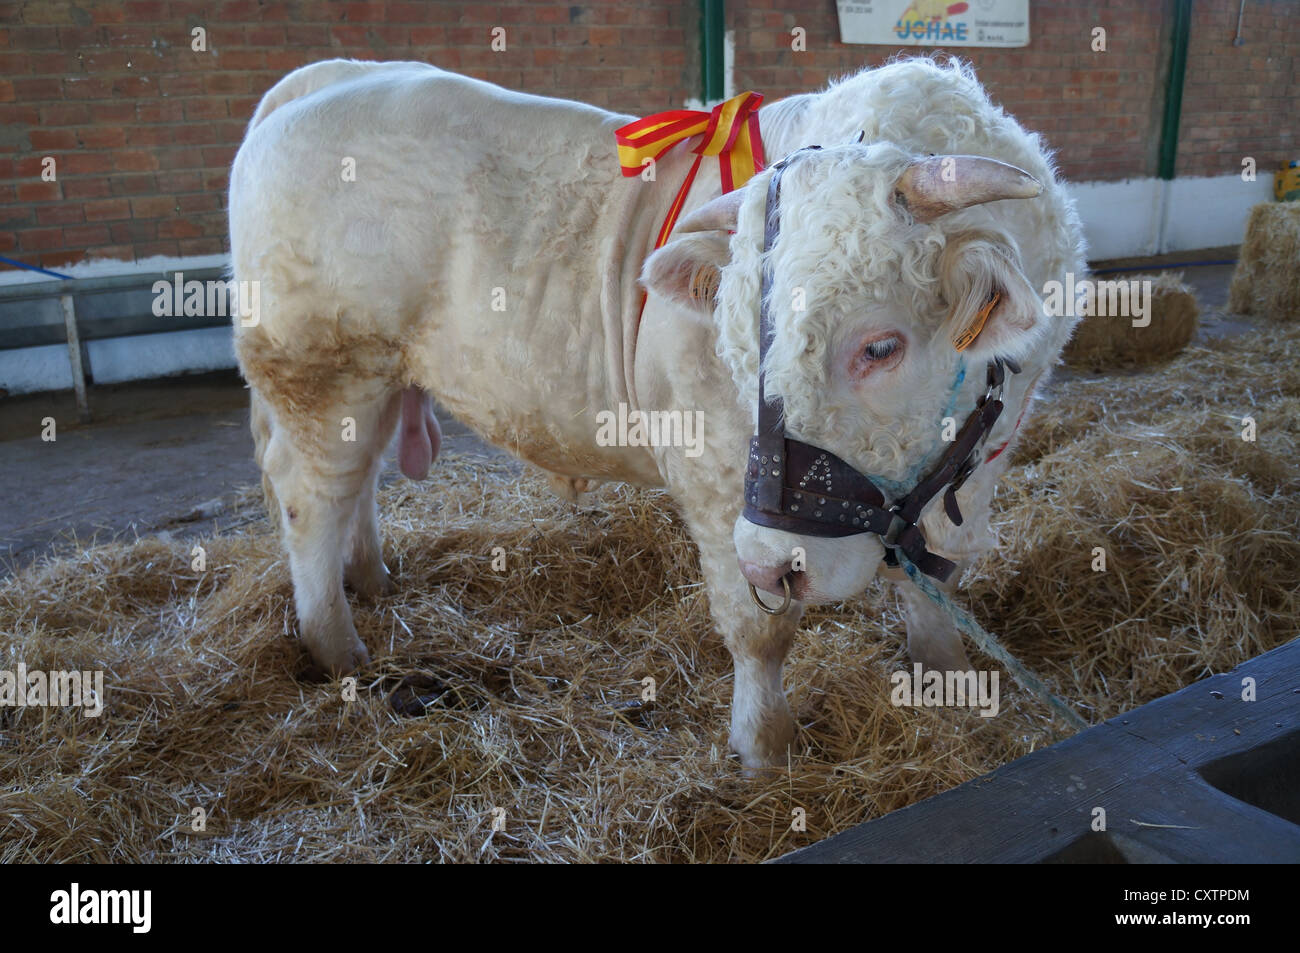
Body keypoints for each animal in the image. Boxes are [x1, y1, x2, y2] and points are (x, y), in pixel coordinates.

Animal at [229, 56, 1087, 769]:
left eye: (880, 346)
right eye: (733, 342)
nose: (778, 565)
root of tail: (323, 80)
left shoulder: (977, 468)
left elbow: (934, 586)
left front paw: (948, 682)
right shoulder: (714, 475)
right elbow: (758, 629)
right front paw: (764, 750)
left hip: (374, 384)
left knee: (357, 485)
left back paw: (369, 577)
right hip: (323, 371)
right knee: (311, 499)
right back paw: (337, 646)